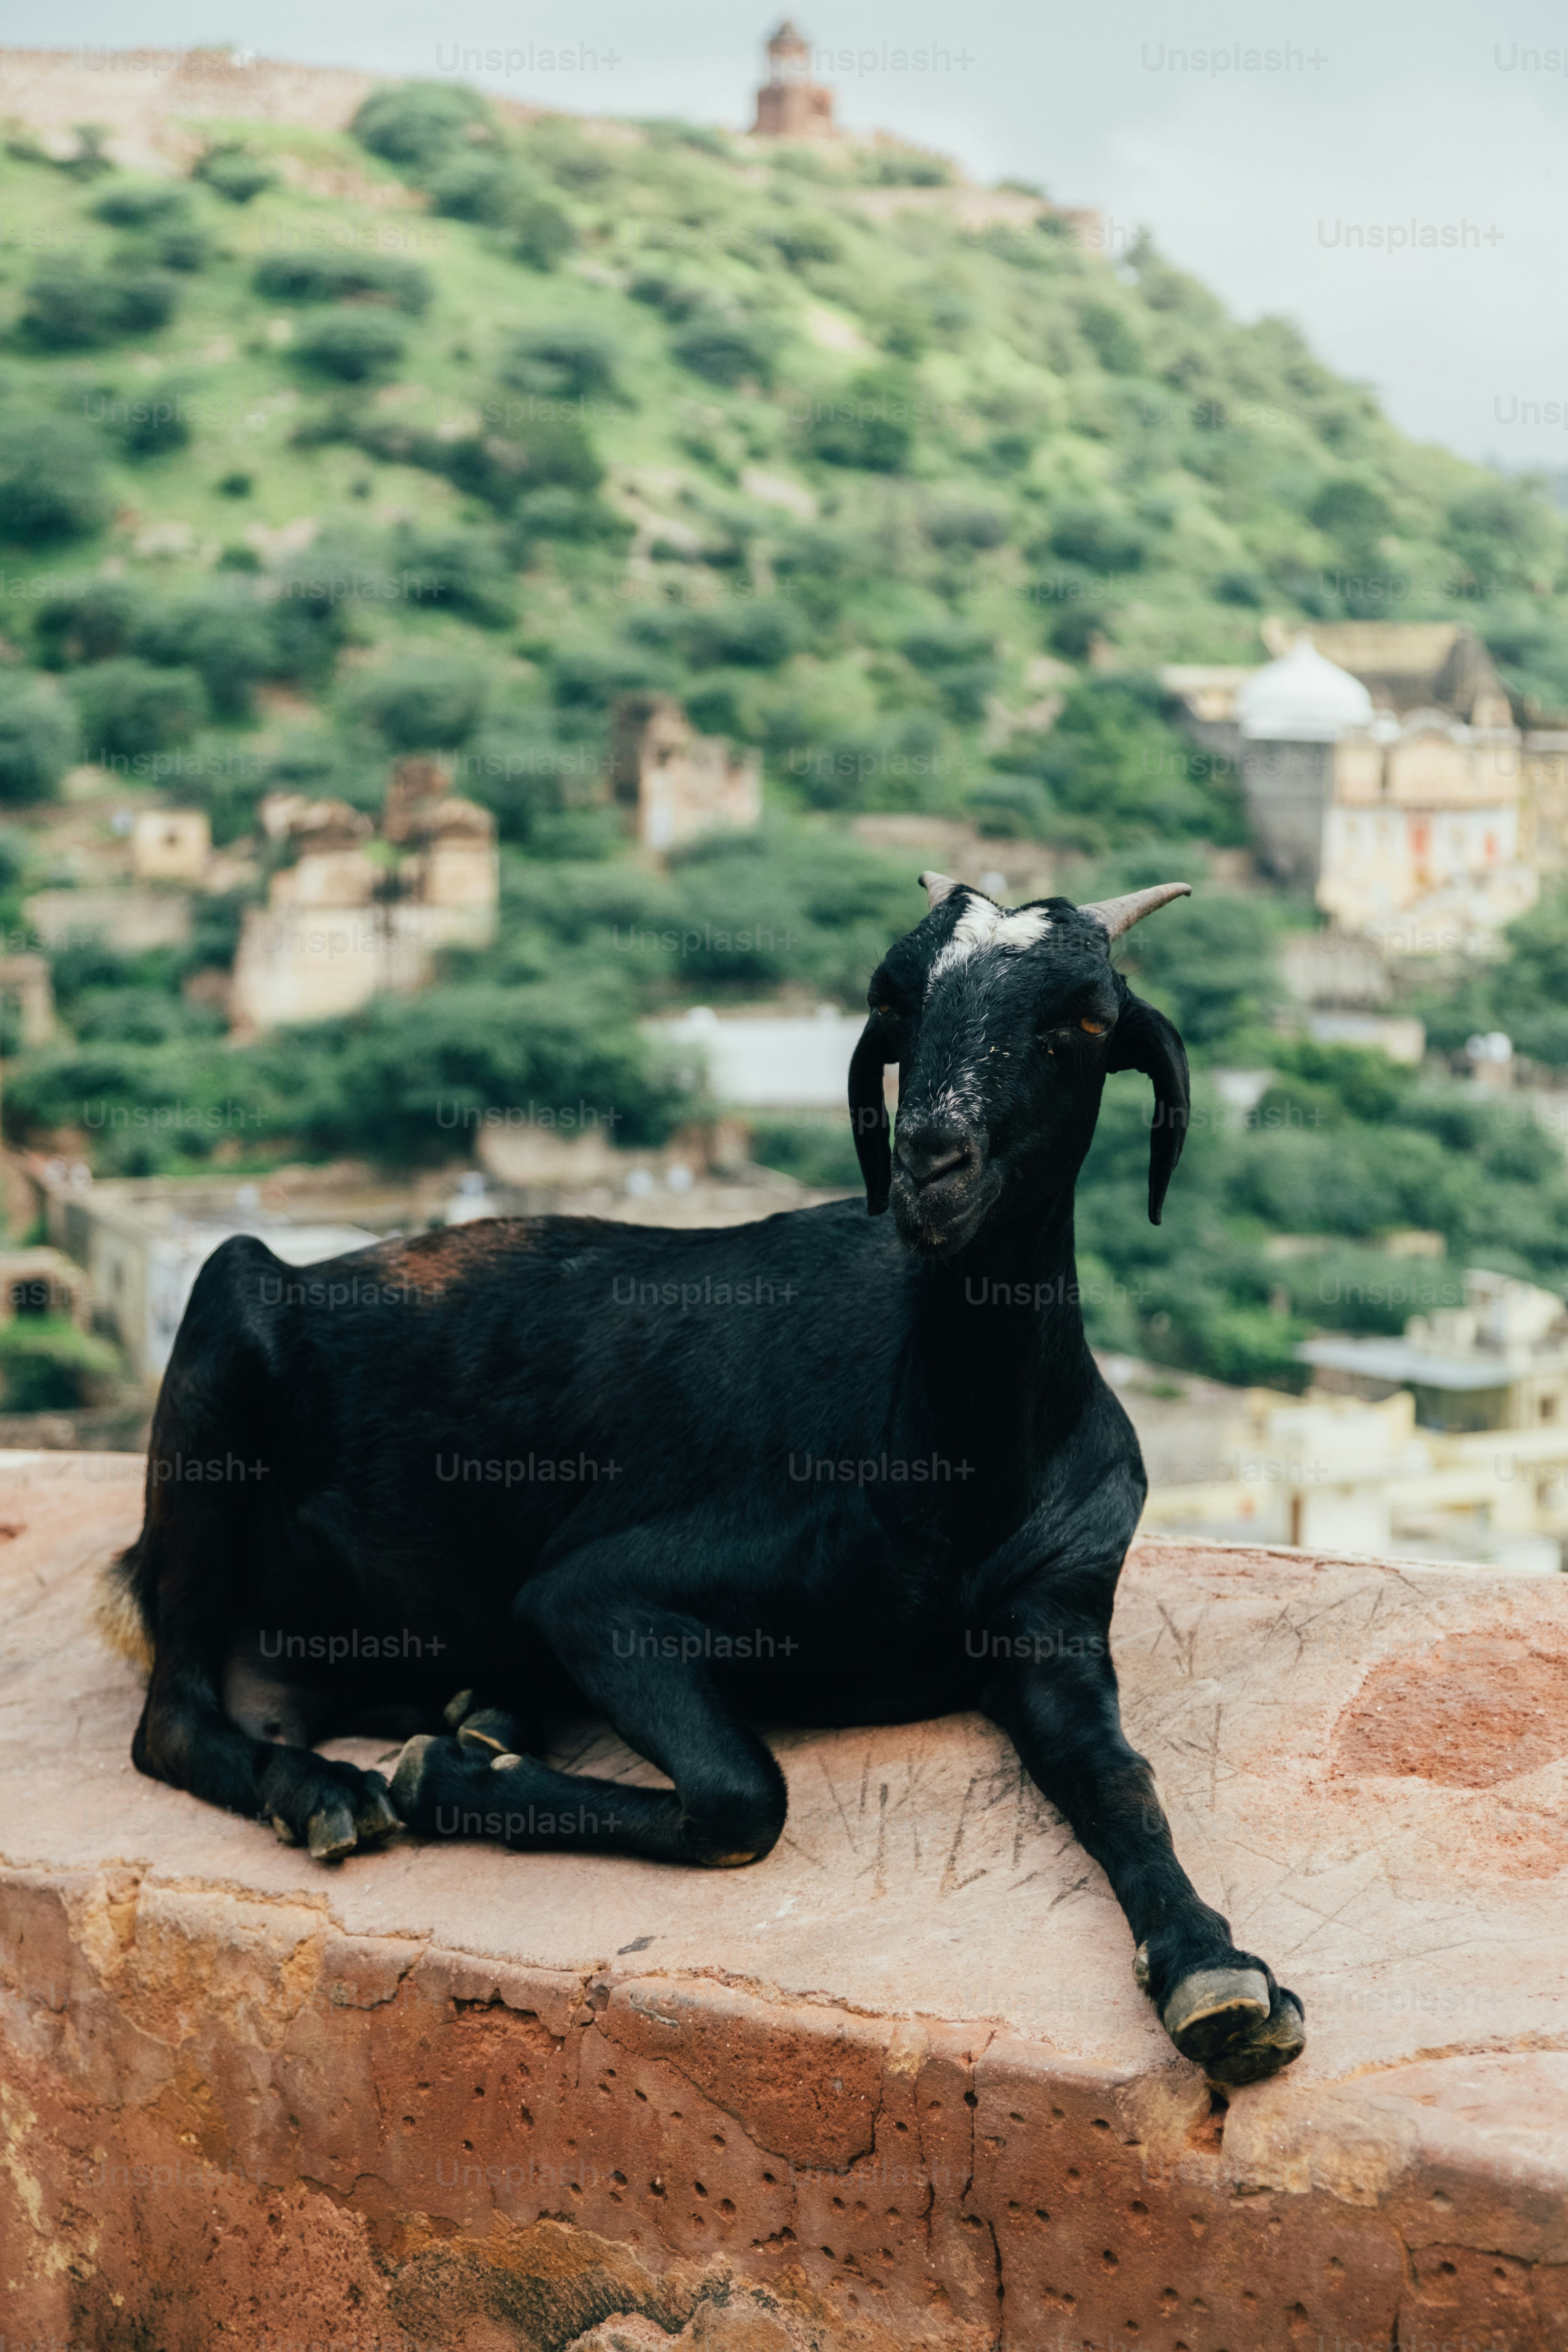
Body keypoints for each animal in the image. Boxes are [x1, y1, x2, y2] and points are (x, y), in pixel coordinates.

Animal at [101, 873, 1304, 2088]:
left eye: (1086, 1021)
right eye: (895, 1000)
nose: (930, 1162)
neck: (956, 1471)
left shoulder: (1052, 1619)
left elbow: (1120, 1775)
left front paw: (1220, 1975)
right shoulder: (600, 1593)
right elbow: (740, 1800)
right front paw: (442, 1779)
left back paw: (484, 1708)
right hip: (227, 1327)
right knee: (174, 1720)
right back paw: (331, 1790)